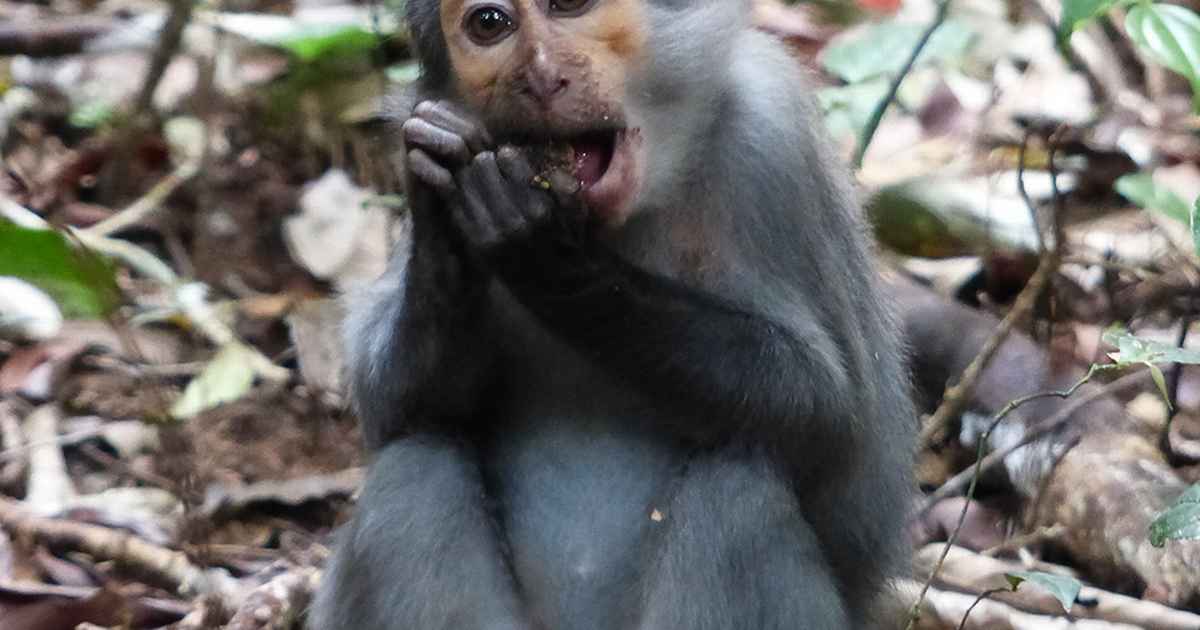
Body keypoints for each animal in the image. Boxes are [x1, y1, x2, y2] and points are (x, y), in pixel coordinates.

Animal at [310, 0, 915, 628]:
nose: (541, 78)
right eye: (489, 22)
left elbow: (831, 423)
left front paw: (551, 255)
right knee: (415, 464)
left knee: (737, 494)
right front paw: (441, 210)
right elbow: (393, 410)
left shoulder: (770, 137)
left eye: (568, 7)